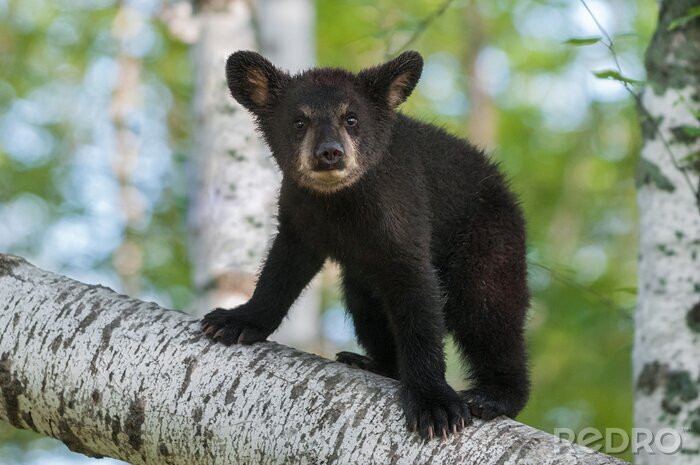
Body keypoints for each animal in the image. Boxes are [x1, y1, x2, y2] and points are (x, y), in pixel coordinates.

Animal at [201, 50, 530, 440]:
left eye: (351, 118)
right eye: (299, 121)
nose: (329, 152)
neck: (339, 204)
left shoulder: (402, 213)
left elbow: (418, 298)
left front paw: (434, 404)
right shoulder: (301, 217)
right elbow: (281, 271)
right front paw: (235, 320)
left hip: (489, 237)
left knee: (489, 308)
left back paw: (493, 395)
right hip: (362, 281)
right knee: (368, 305)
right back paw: (370, 362)